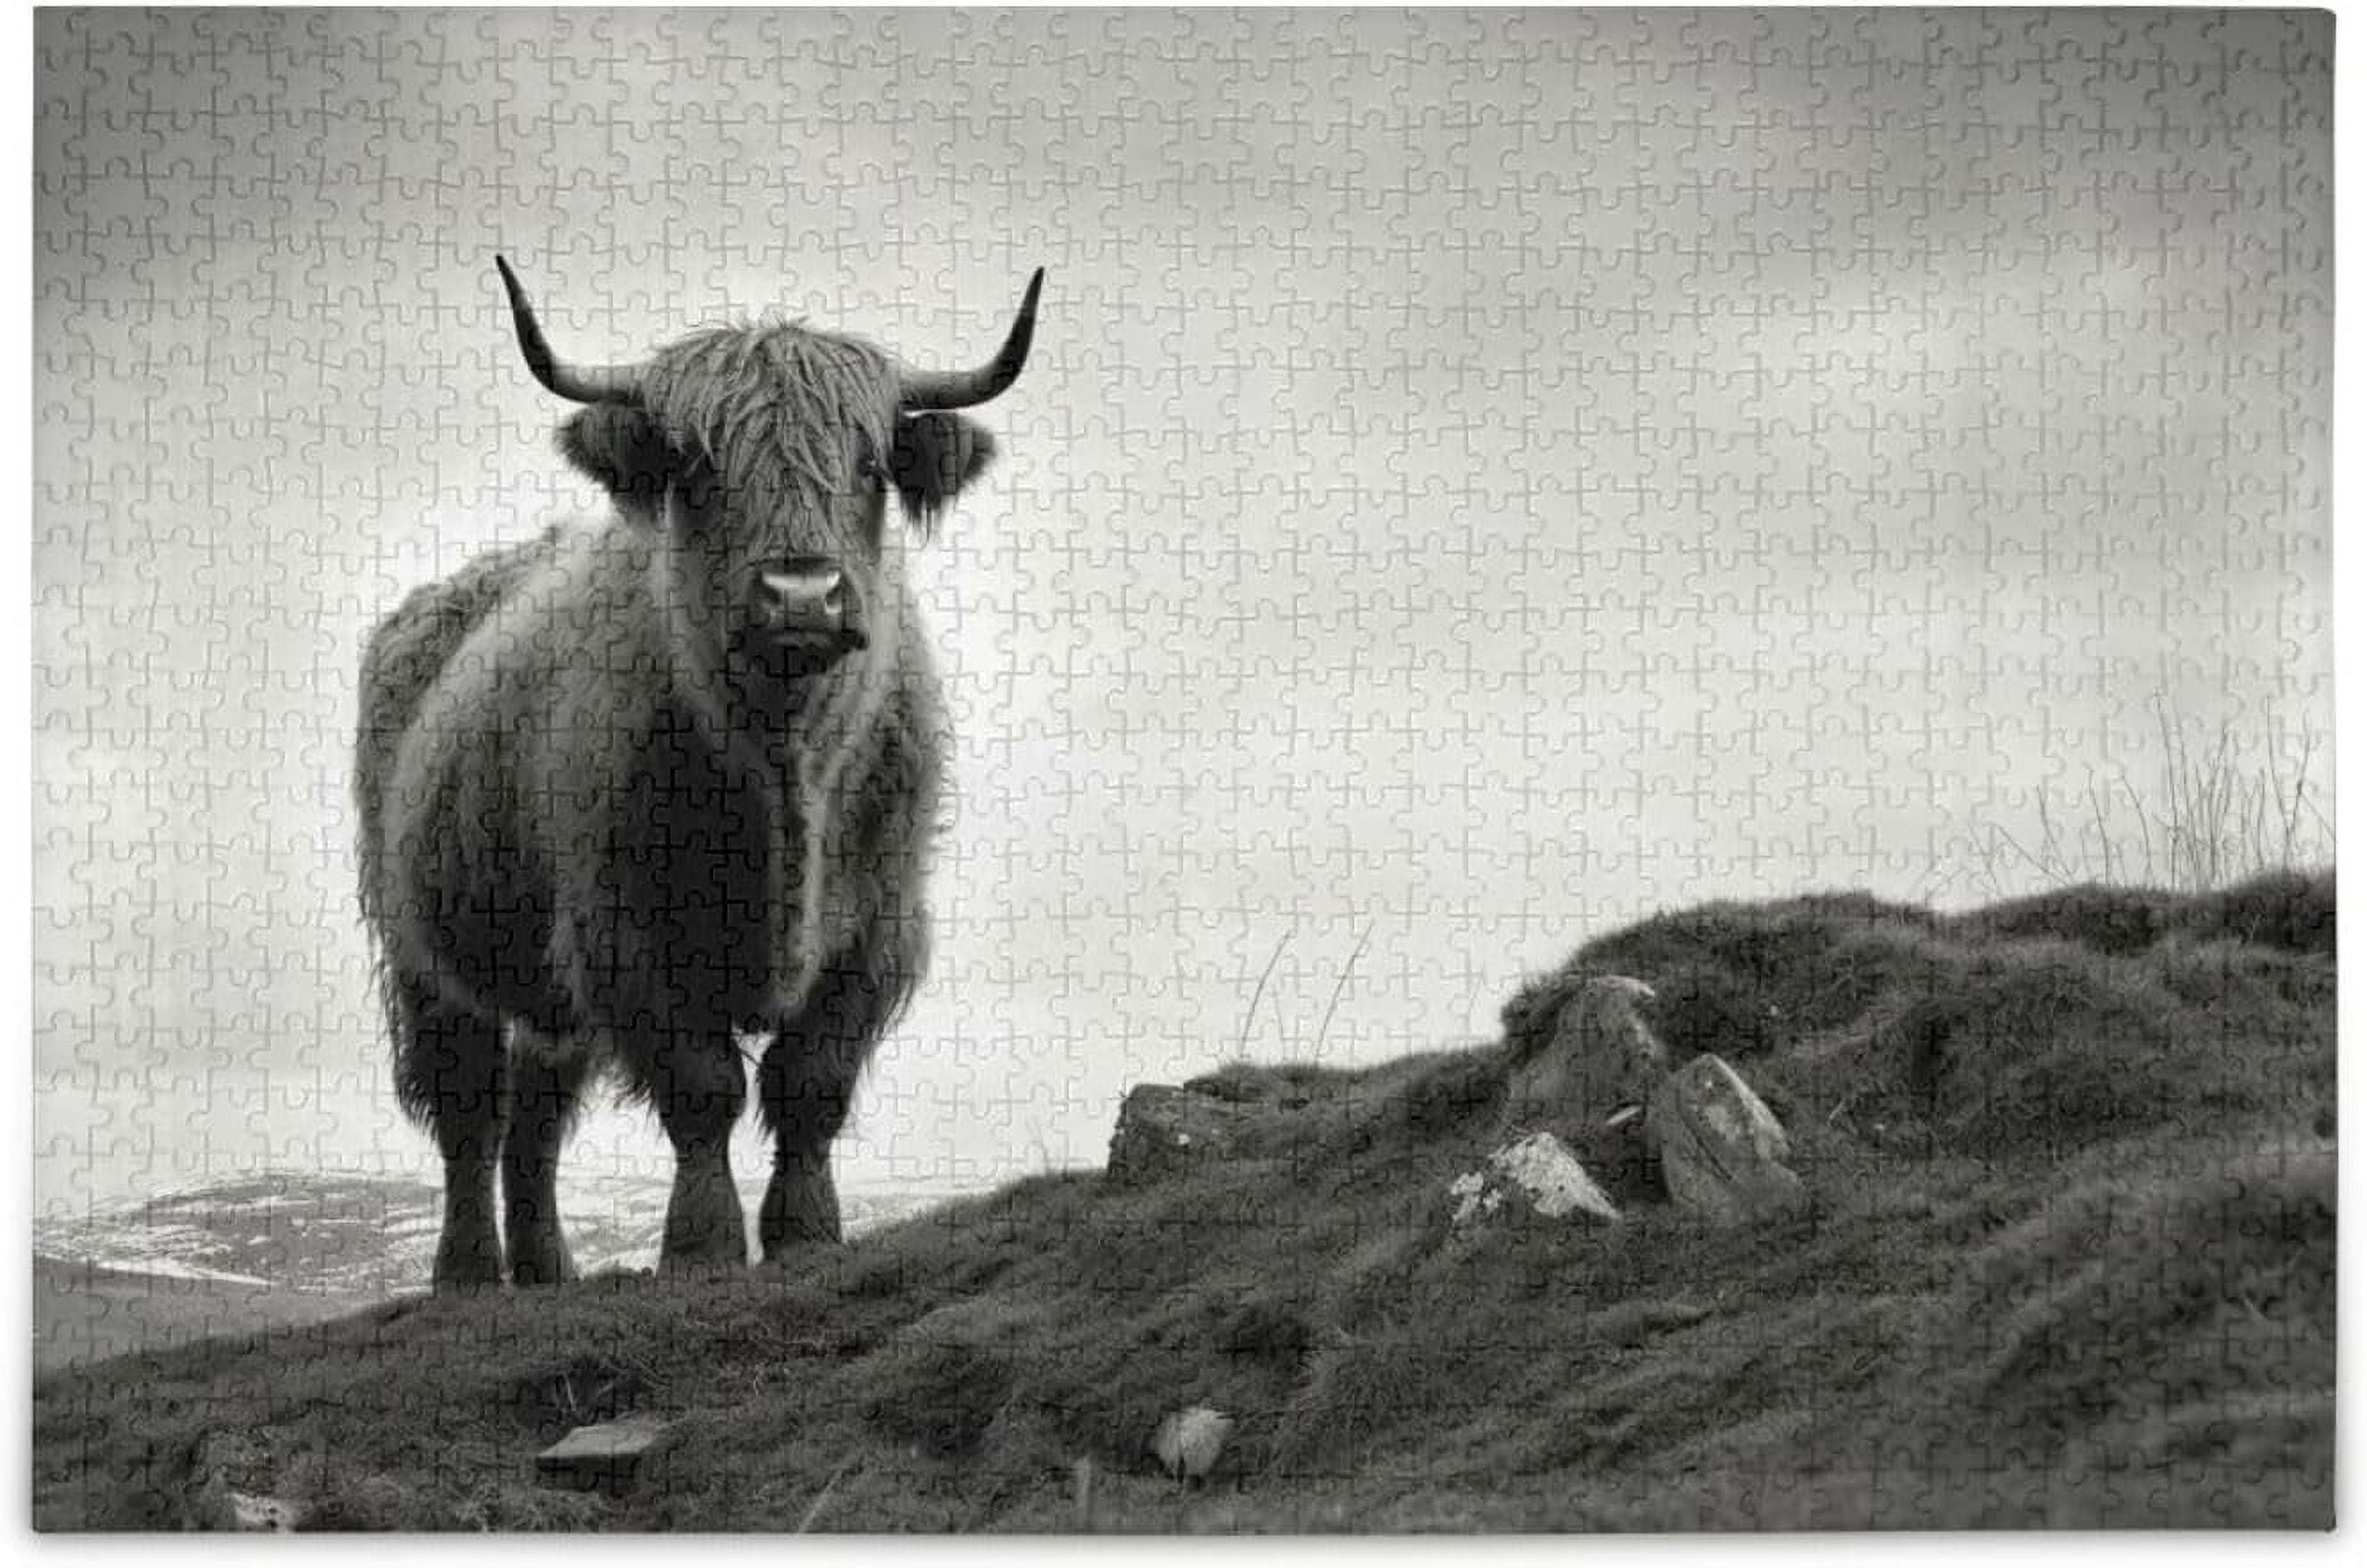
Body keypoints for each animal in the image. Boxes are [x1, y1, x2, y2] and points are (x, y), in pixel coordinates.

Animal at [353, 257, 1041, 1288]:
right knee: (468, 1110)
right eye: (702, 467)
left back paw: (547, 1271)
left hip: (549, 991)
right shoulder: (624, 933)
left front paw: (807, 1232)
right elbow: (702, 1089)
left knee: (536, 1118)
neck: (782, 766)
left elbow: (810, 1085)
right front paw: (703, 1247)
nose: (801, 595)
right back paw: (467, 1275)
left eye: (868, 465)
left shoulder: (878, 930)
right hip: (425, 958)